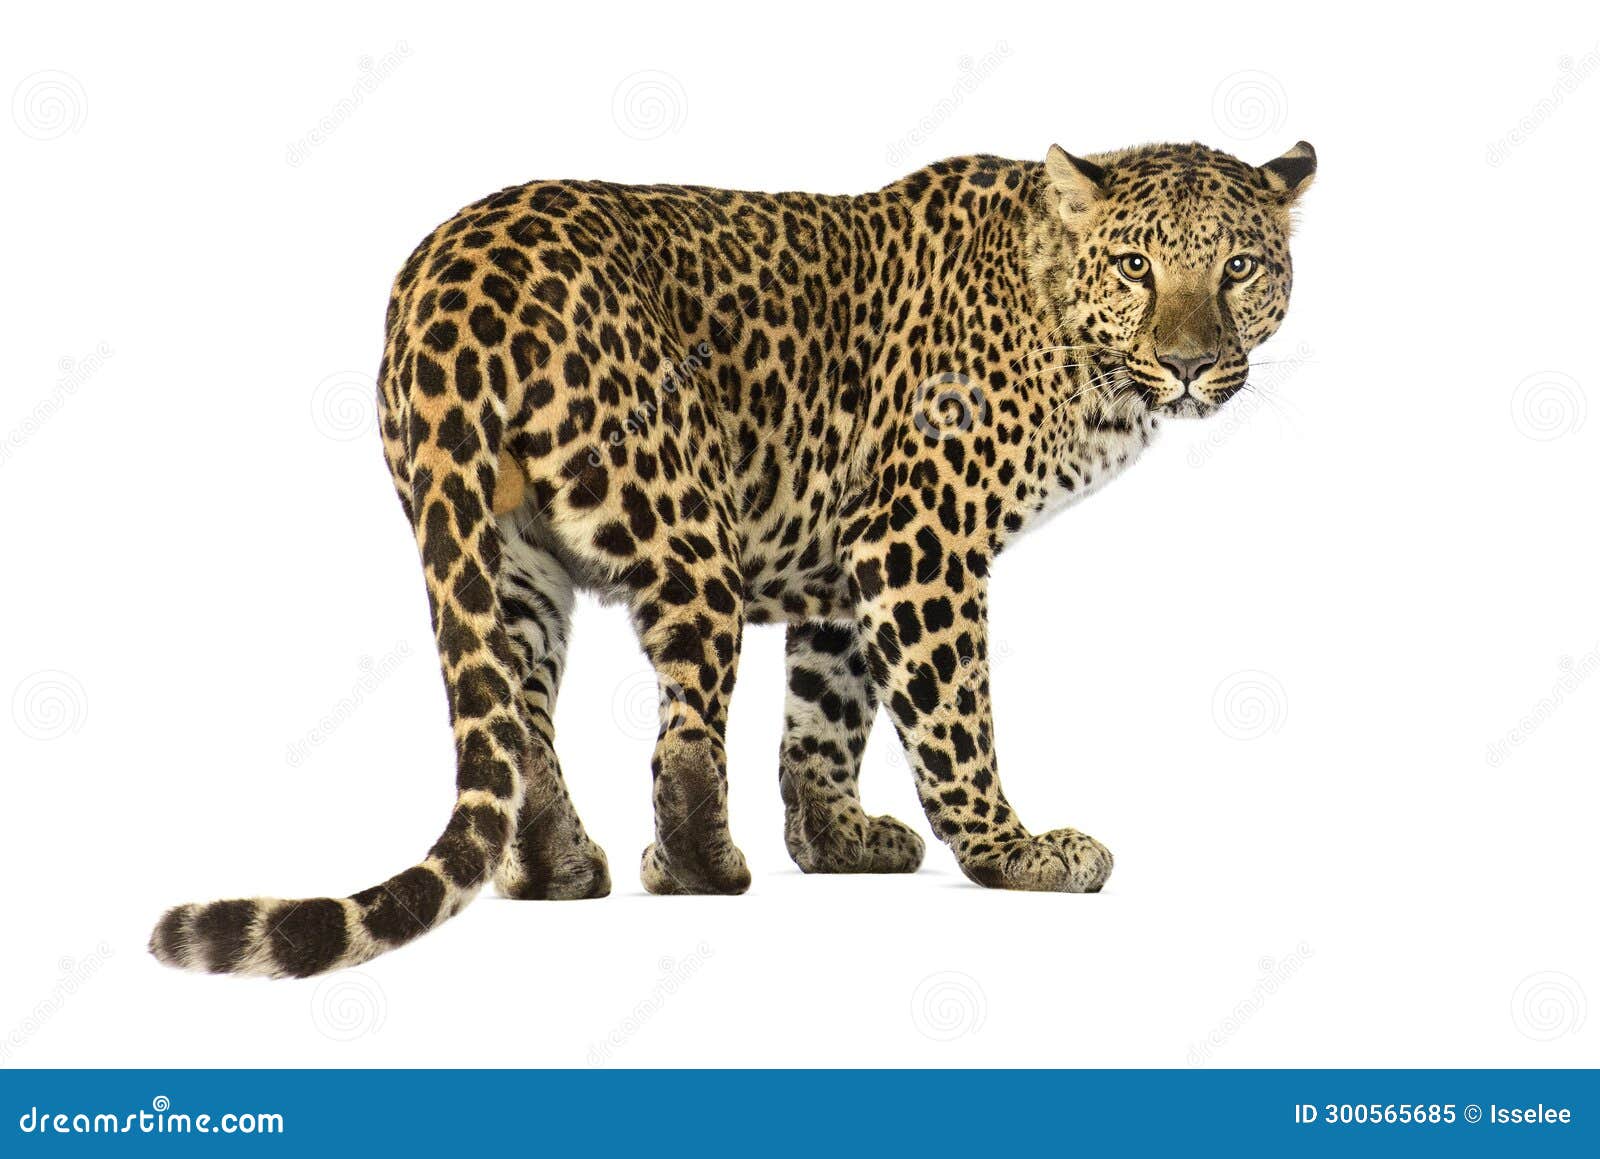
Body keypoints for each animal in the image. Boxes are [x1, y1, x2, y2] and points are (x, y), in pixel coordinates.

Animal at [150, 139, 1316, 977]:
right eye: (1137, 266)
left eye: (1239, 267)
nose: (1189, 362)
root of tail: (455, 273)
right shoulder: (919, 537)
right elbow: (952, 718)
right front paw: (1013, 853)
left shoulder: (848, 560)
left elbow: (824, 715)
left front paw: (837, 839)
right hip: (680, 524)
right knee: (678, 739)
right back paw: (699, 866)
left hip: (503, 550)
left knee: (519, 718)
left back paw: (564, 864)